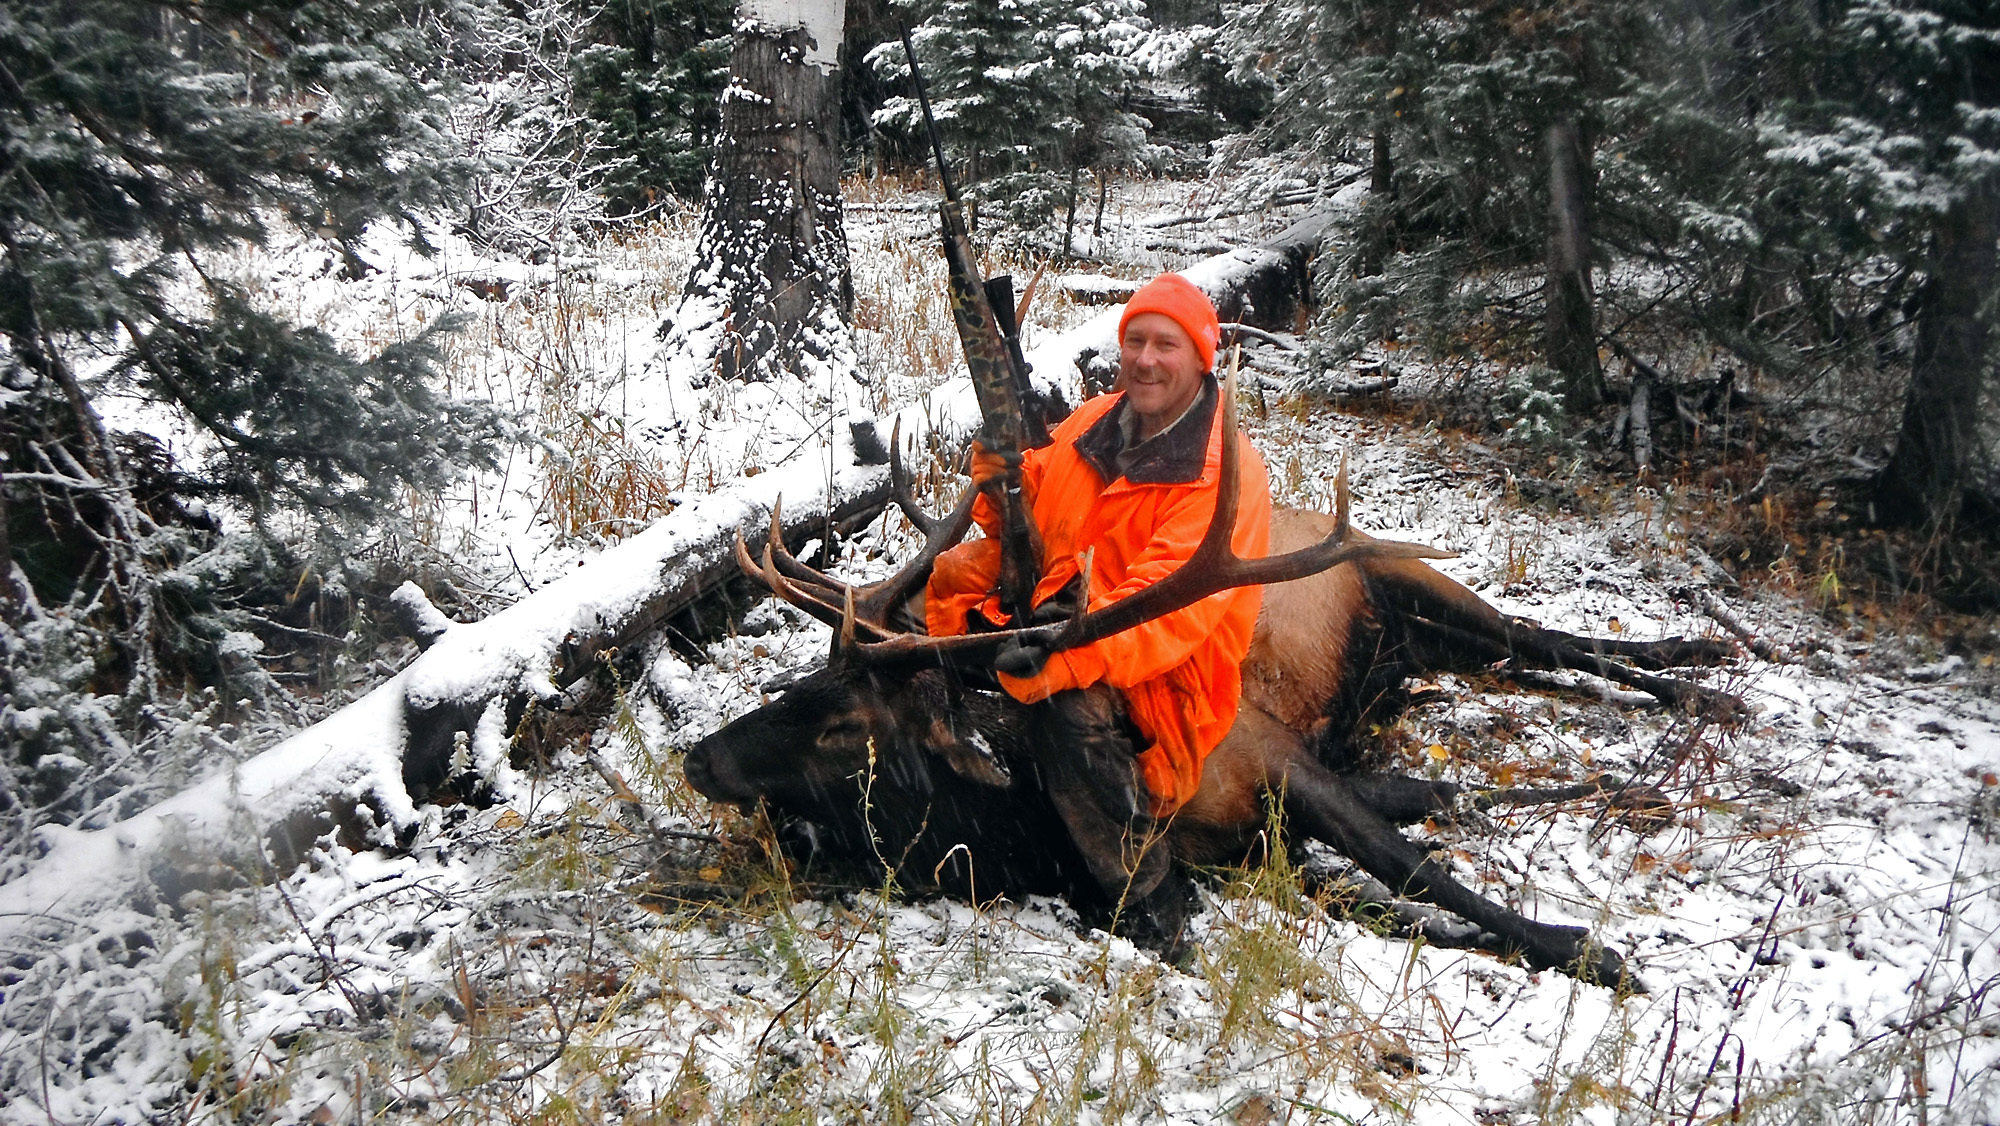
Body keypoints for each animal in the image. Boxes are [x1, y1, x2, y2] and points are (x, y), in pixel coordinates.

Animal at [682, 377, 1734, 989]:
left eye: (841, 724)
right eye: (791, 690)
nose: (696, 758)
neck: (1029, 821)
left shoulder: (1271, 756)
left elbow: (1417, 869)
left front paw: (1587, 948)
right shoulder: (1257, 837)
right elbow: (1406, 833)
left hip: (1408, 572)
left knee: (1544, 635)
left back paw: (1701, 672)